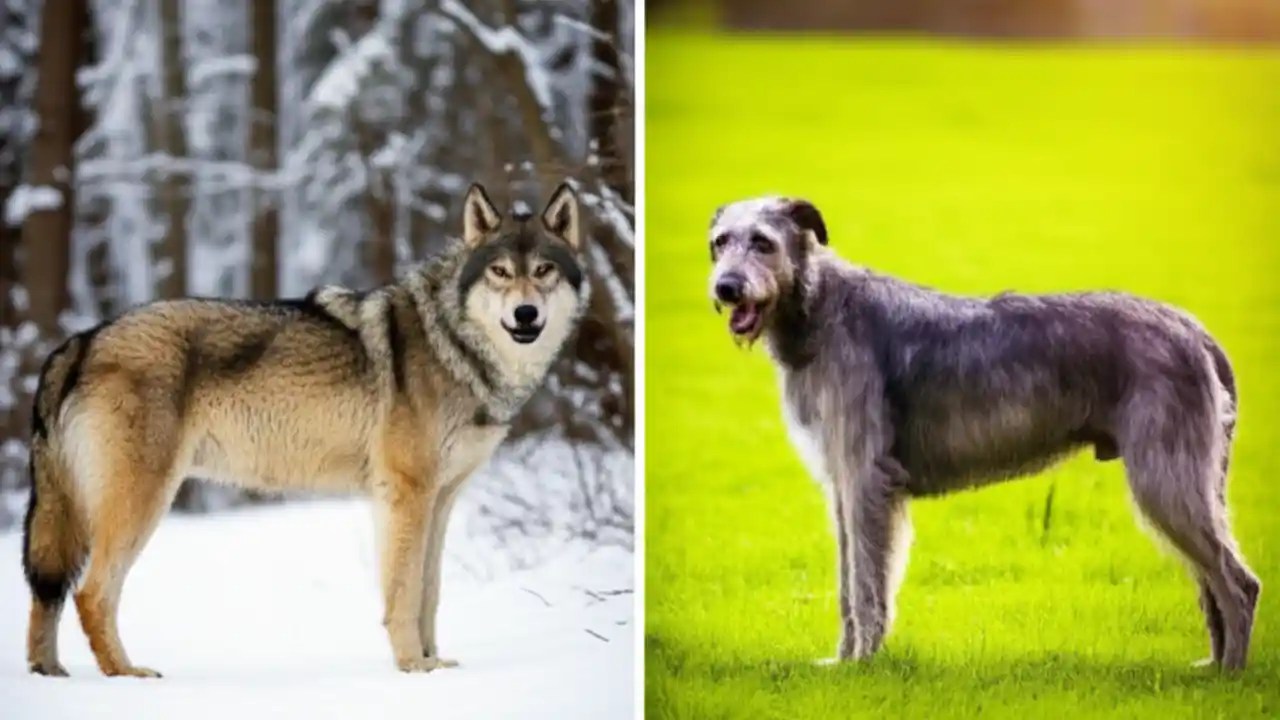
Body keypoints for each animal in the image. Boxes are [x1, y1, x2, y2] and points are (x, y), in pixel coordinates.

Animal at [21, 182, 589, 677]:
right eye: (500, 272)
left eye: (543, 271)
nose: (525, 313)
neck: (454, 344)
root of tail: (85, 338)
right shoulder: (406, 494)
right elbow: (404, 595)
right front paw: (412, 668)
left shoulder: (442, 500)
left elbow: (429, 594)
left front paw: (434, 663)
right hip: (141, 503)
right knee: (91, 593)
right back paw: (126, 674)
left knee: (48, 593)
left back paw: (50, 672)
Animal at [706, 196, 1259, 670]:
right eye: (720, 241)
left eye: (762, 242)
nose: (726, 288)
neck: (820, 310)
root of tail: (1193, 329)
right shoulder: (842, 486)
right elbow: (848, 581)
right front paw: (842, 662)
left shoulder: (867, 478)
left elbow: (868, 584)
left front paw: (863, 664)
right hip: (1190, 478)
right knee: (1212, 581)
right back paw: (1213, 664)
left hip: (1164, 477)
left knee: (1238, 583)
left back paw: (1230, 674)